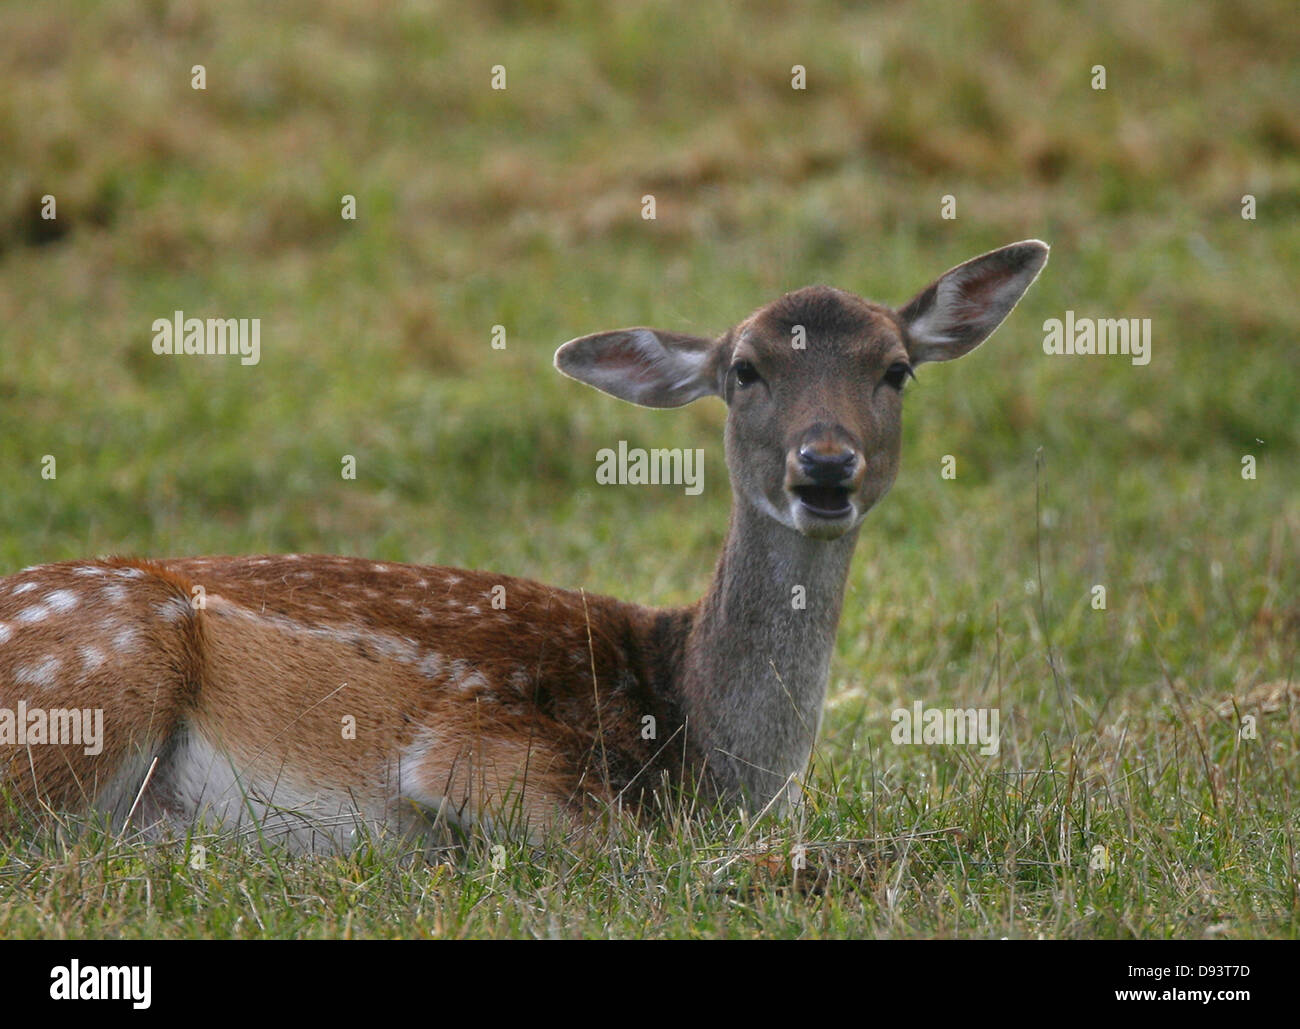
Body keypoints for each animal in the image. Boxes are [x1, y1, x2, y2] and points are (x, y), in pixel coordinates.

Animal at [0, 241, 1048, 853]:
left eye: (897, 369)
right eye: (746, 369)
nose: (824, 464)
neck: (707, 754)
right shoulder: (486, 747)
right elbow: (624, 845)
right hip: (98, 670)